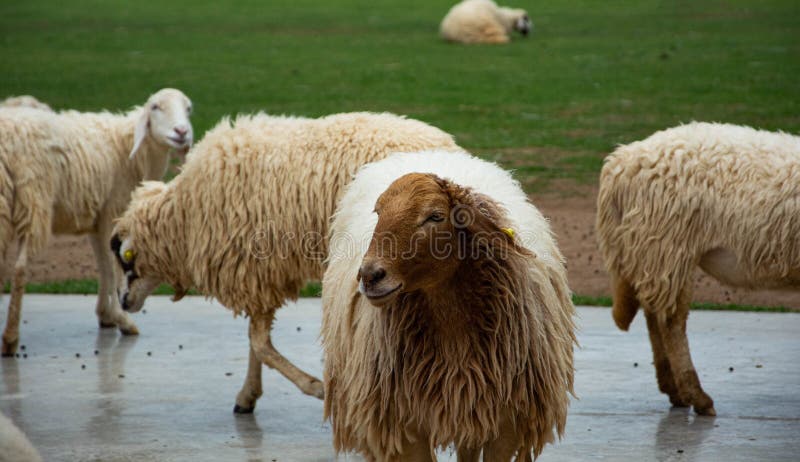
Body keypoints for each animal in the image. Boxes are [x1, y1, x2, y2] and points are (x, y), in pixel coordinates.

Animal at [0, 88, 193, 357]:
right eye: (155, 107)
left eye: (188, 109)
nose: (181, 132)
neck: (129, 150)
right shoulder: (112, 212)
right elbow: (112, 269)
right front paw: (122, 319)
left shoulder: (96, 219)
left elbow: (102, 266)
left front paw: (106, 316)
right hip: (35, 200)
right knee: (19, 268)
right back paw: (10, 339)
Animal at [109, 111, 460, 413]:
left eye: (124, 260)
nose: (123, 302)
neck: (184, 217)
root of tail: (449, 147)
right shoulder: (256, 276)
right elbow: (256, 343)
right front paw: (248, 396)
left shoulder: (252, 269)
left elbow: (260, 344)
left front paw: (315, 387)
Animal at [322, 150, 576, 461]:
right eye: (378, 212)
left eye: (435, 216)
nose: (369, 276)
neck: (453, 331)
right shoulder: (406, 426)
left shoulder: (506, 423)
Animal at [596, 122, 800, 416]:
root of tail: (622, 161)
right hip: (669, 245)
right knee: (671, 321)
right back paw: (698, 396)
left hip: (654, 250)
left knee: (654, 313)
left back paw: (674, 390)